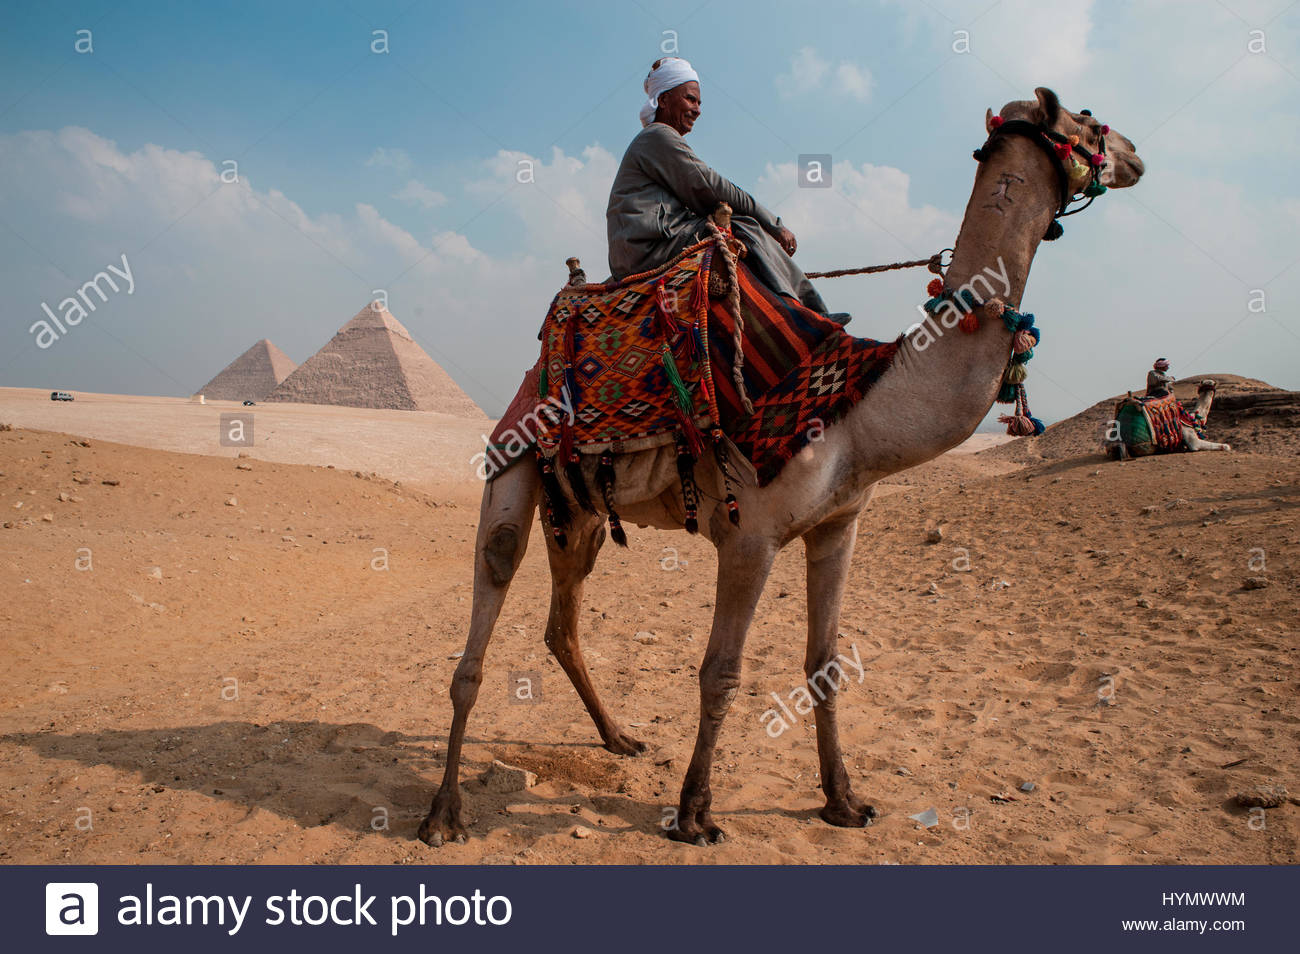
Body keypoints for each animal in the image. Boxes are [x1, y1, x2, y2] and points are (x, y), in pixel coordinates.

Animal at [418, 87, 1146, 847]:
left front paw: (844, 800)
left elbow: (825, 665)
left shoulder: (839, 524)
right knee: (484, 616)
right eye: (1090, 123)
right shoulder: (750, 535)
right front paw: (694, 813)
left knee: (562, 622)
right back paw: (443, 812)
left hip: (579, 511)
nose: (1136, 157)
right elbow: (720, 671)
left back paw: (619, 737)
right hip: (512, 464)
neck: (863, 407)